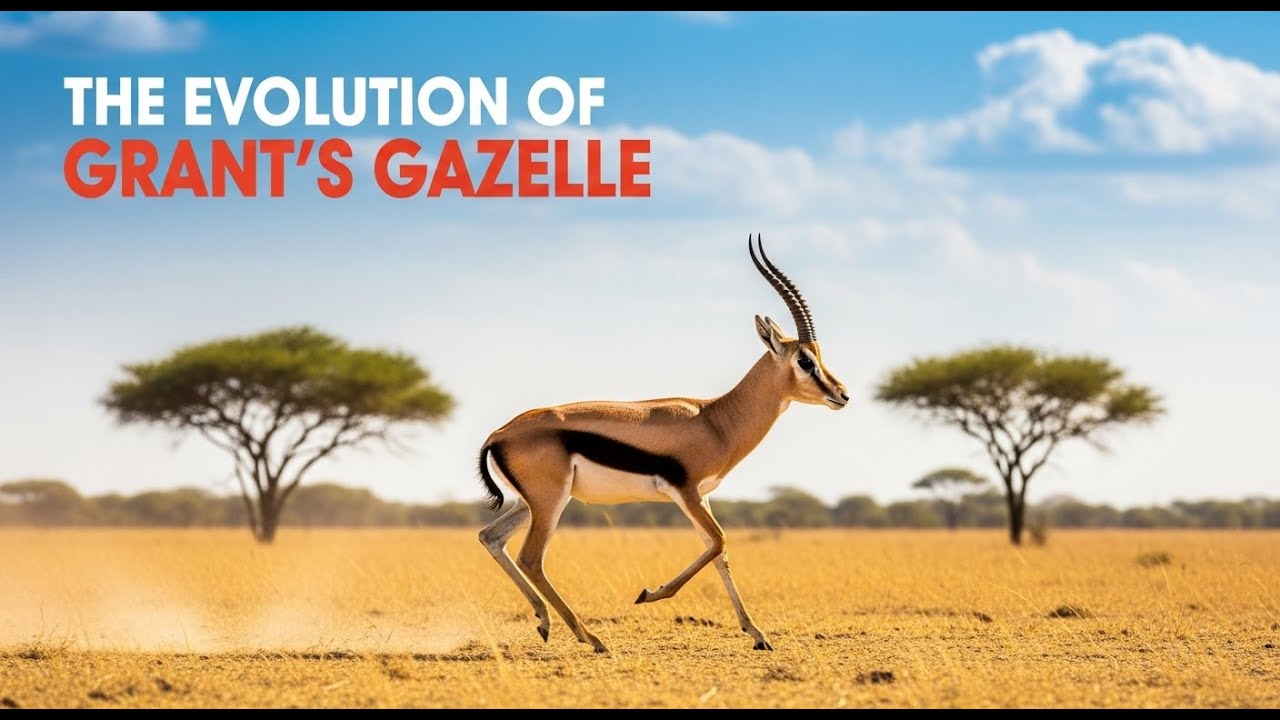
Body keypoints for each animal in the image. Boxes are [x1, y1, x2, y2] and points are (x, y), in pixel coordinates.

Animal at [476, 234, 849, 653]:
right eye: (805, 361)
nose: (842, 394)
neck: (715, 420)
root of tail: (498, 434)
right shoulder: (685, 492)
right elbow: (718, 541)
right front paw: (648, 594)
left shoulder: (702, 495)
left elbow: (720, 553)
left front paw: (758, 634)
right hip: (550, 502)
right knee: (531, 558)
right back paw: (591, 637)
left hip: (531, 503)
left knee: (492, 538)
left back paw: (544, 622)